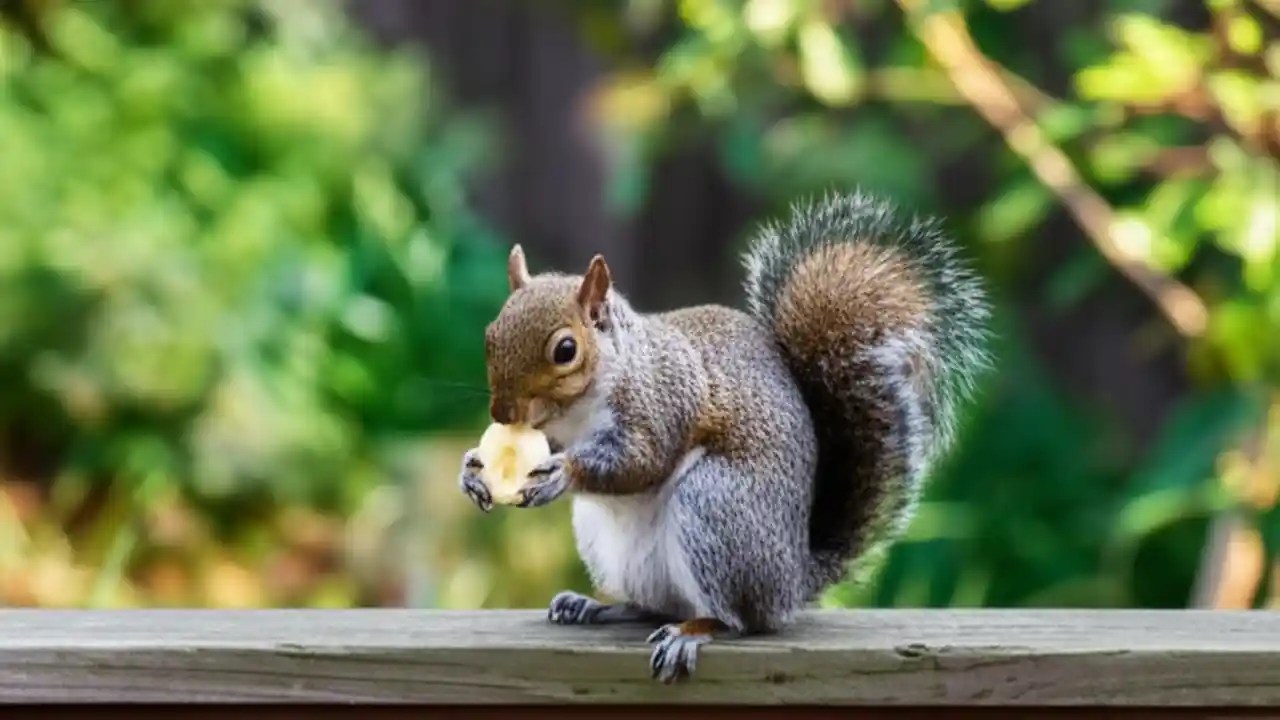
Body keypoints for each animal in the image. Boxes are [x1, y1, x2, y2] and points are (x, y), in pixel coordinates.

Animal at [458, 191, 991, 684]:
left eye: (565, 350)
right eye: (489, 334)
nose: (502, 412)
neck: (580, 408)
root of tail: (791, 579)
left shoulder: (663, 399)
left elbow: (642, 459)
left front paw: (560, 472)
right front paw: (474, 469)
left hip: (716, 506)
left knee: (739, 620)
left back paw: (693, 632)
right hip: (610, 542)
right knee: (652, 605)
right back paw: (597, 606)